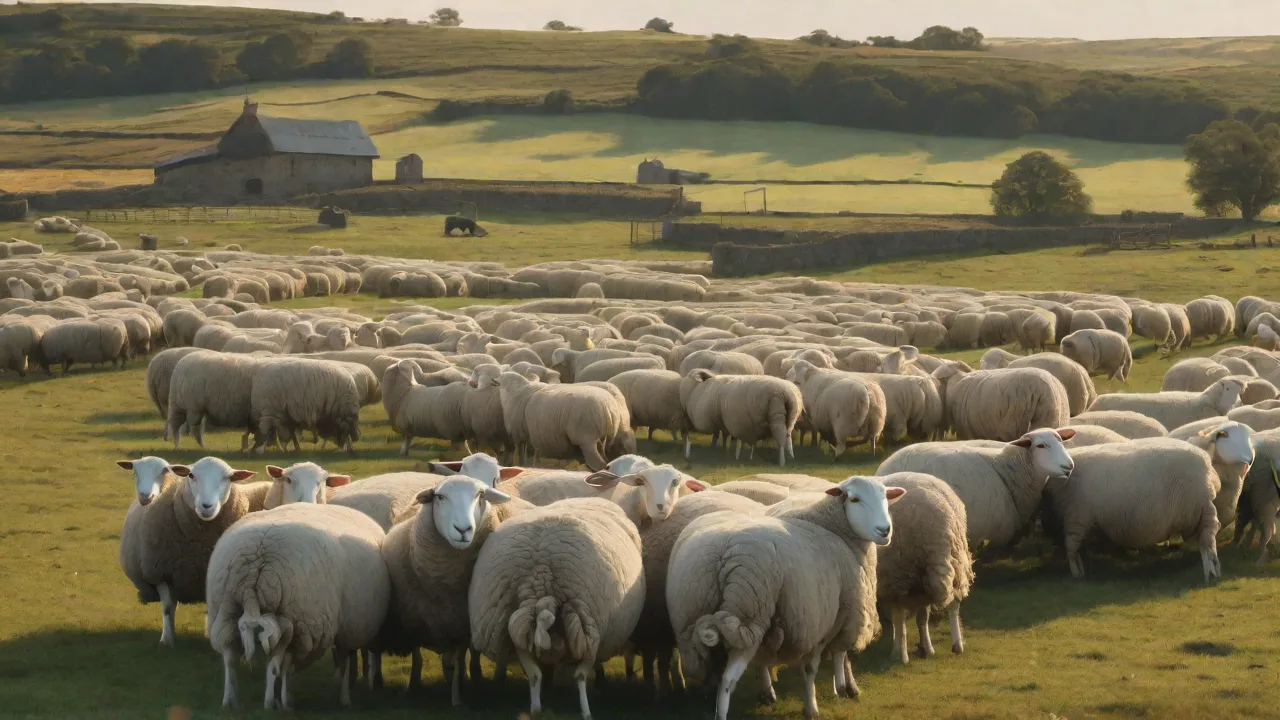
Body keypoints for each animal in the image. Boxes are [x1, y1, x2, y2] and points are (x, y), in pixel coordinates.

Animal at [131, 456, 258, 647]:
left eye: (228, 478)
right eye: (191, 475)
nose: (206, 506)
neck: (202, 542)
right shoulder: (162, 572)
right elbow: (167, 608)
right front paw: (167, 640)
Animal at [206, 503, 389, 709]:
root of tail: (260, 558)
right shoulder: (324, 633)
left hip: (225, 612)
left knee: (230, 658)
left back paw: (231, 700)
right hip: (300, 623)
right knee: (274, 665)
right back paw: (272, 702)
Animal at [497, 371, 633, 471]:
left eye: (501, 382)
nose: (494, 380)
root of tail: (608, 406)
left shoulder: (520, 437)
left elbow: (522, 459)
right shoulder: (534, 439)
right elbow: (536, 458)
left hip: (588, 439)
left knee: (599, 463)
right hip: (610, 438)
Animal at [667, 477, 901, 720]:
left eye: (886, 497)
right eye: (854, 499)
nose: (885, 530)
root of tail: (723, 553)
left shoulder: (832, 615)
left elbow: (835, 655)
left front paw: (840, 689)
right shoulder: (827, 618)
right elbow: (815, 666)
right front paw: (816, 705)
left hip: (692, 615)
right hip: (750, 611)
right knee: (728, 679)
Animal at [875, 472, 973, 664]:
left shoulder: (893, 580)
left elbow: (899, 619)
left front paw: (900, 650)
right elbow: (920, 618)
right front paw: (924, 648)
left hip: (900, 572)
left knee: (902, 615)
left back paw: (901, 654)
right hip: (950, 562)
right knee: (951, 603)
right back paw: (954, 645)